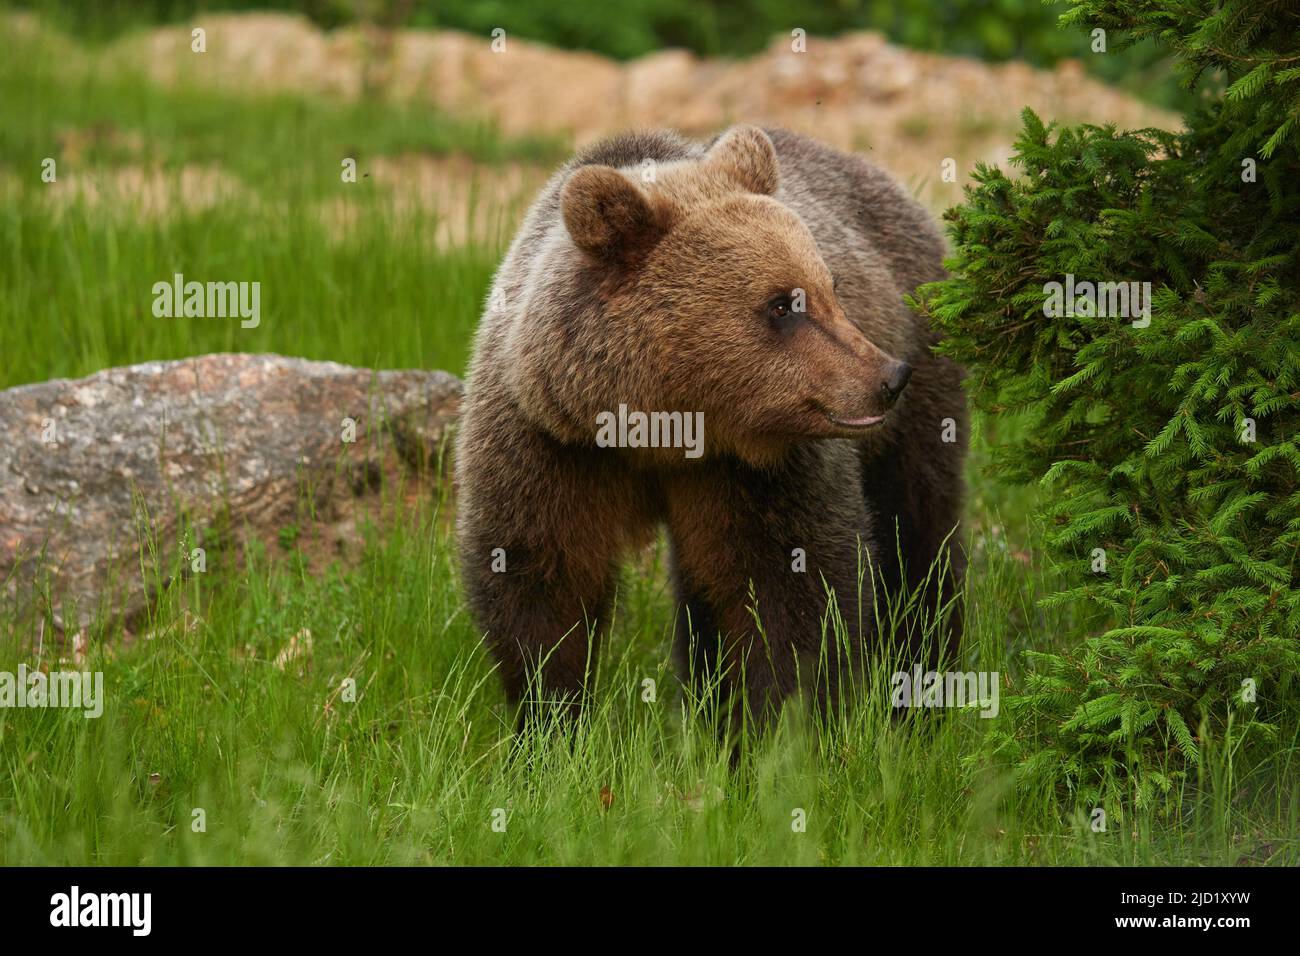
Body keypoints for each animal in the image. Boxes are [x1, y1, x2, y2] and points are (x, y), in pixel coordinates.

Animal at [455, 125, 968, 732]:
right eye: (782, 305)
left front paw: (780, 727)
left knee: (917, 528)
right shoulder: (552, 445)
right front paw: (549, 724)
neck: (665, 429)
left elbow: (792, 585)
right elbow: (542, 583)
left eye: (830, 288)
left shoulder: (762, 470)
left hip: (919, 382)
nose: (886, 378)